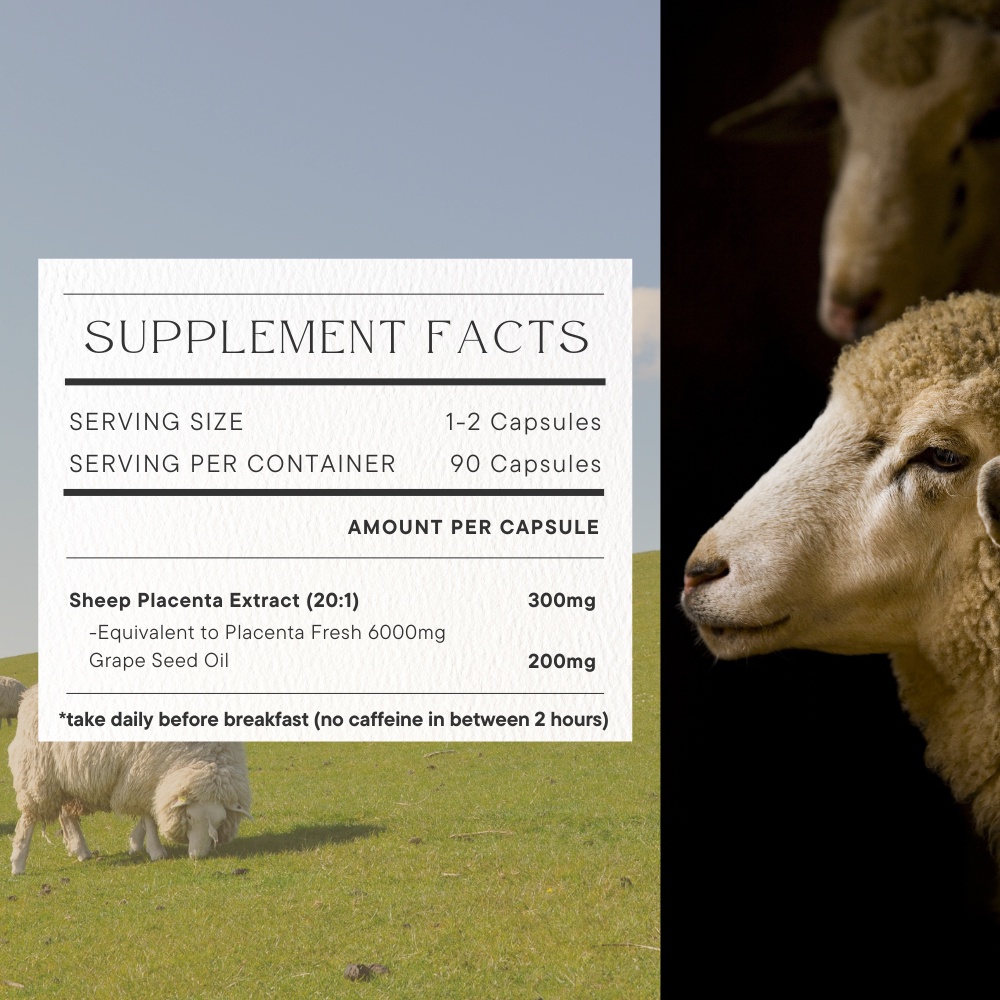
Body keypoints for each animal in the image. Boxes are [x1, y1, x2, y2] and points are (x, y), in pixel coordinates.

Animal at [8, 686, 252, 874]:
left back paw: (81, 851)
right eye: (190, 817)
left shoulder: (148, 780)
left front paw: (136, 843)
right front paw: (156, 850)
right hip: (37, 773)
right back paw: (18, 864)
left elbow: (147, 814)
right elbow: (149, 817)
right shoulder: (141, 775)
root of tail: (29, 695)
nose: (198, 855)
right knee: (27, 821)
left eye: (220, 822)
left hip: (68, 780)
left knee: (67, 816)